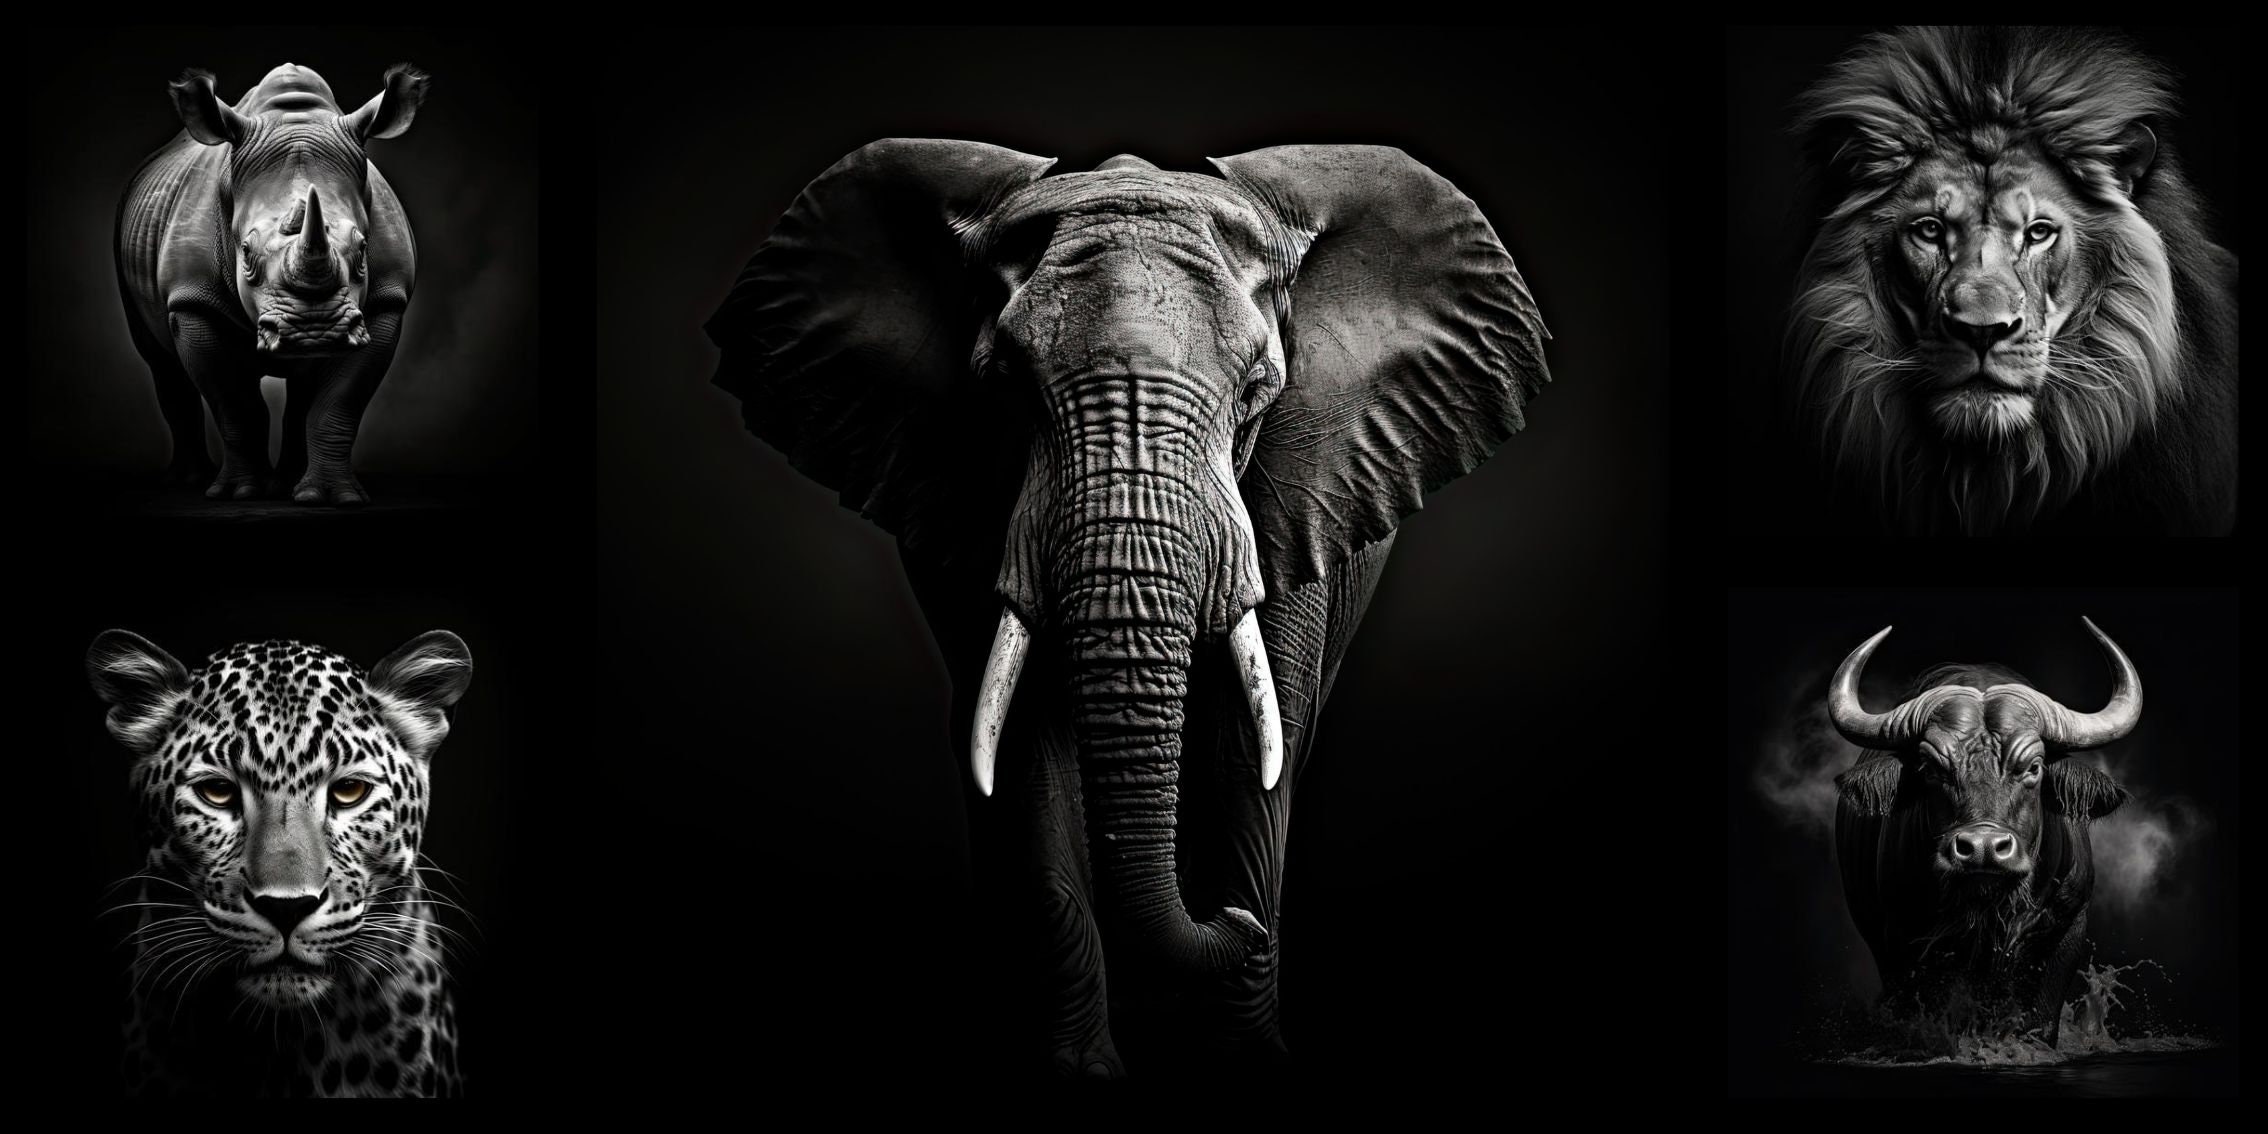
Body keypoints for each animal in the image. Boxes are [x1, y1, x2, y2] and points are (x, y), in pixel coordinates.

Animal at [706, 141, 1550, 1077]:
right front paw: (1078, 1071)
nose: (1236, 921)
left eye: (1258, 392)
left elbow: (1251, 747)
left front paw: (1243, 1059)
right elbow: (1025, 746)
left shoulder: (1305, 482)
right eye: (1004, 386)